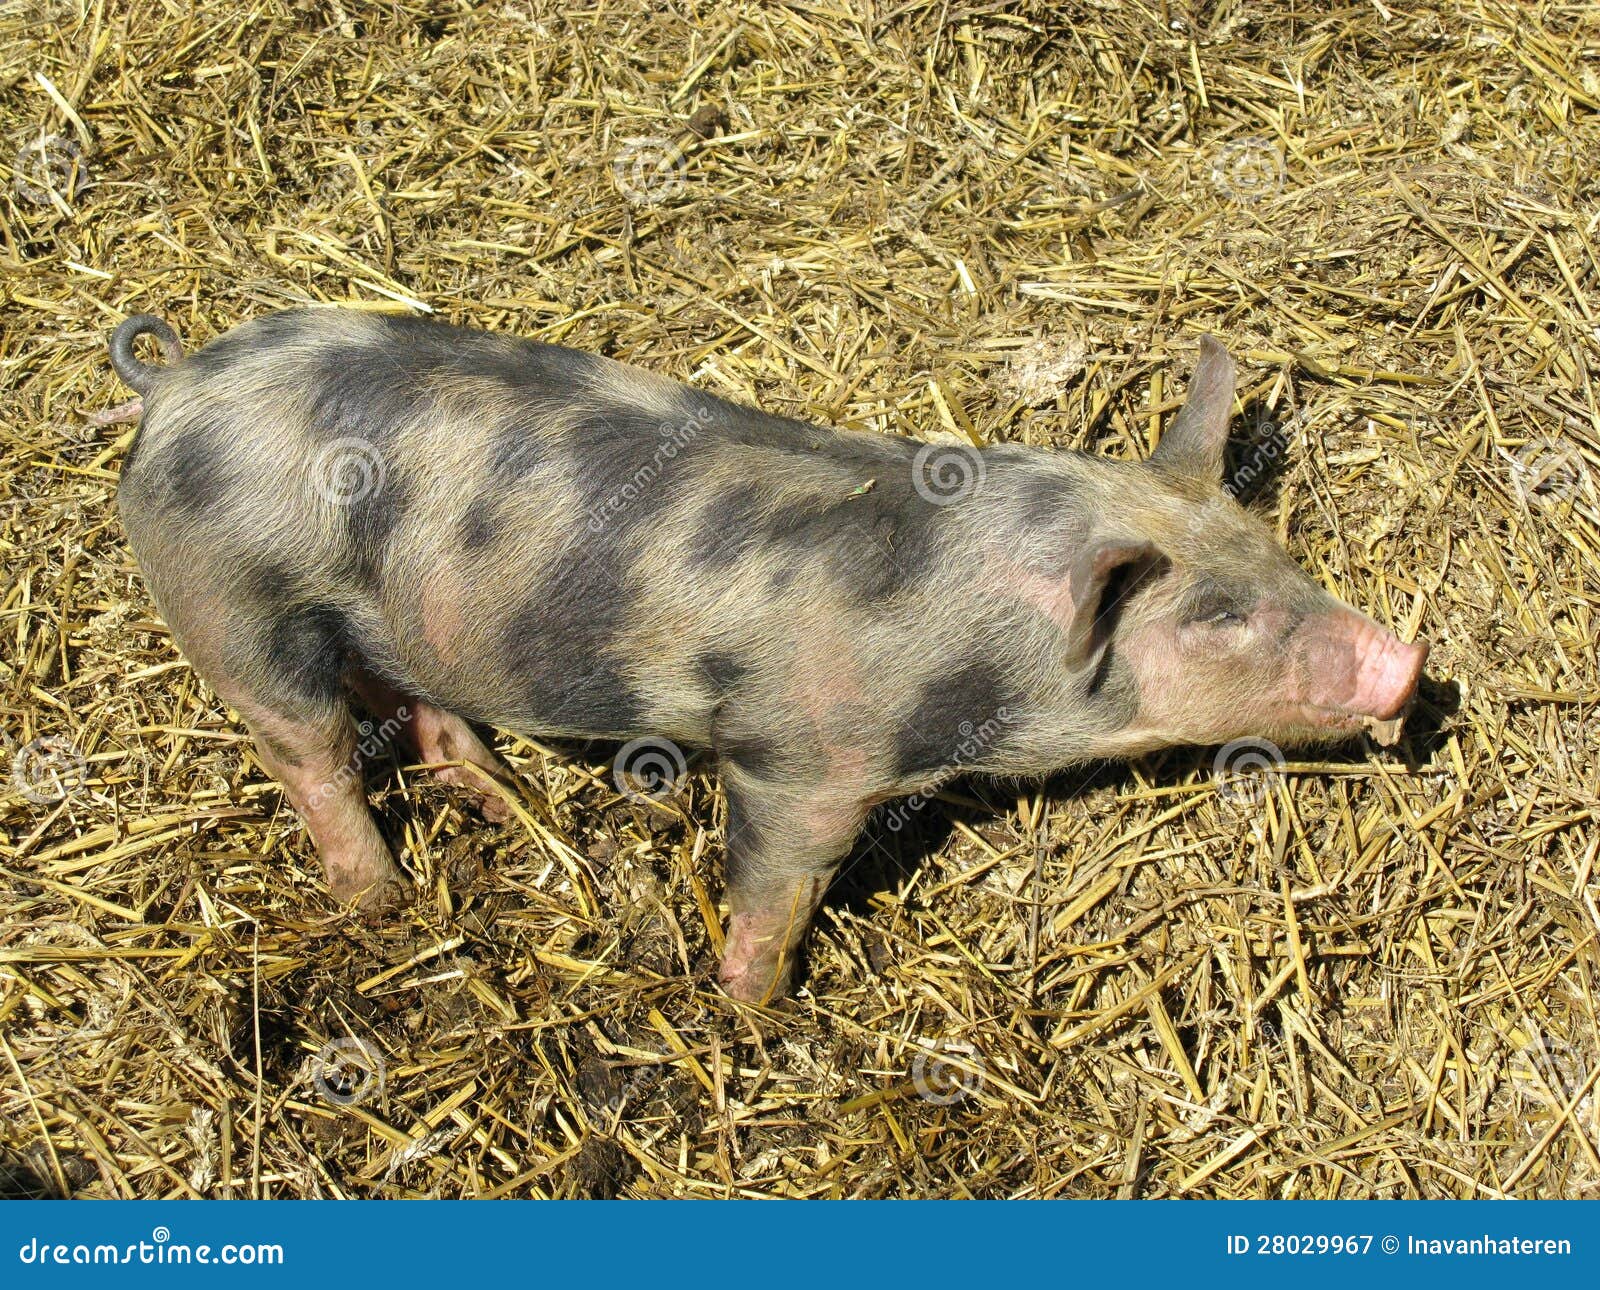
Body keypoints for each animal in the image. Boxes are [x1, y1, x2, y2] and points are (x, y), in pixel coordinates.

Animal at [109, 309, 1428, 1003]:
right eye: (1216, 614)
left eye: (1276, 557)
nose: (1408, 662)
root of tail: (172, 390)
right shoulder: (801, 759)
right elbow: (779, 882)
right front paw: (751, 1004)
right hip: (234, 603)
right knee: (310, 752)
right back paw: (380, 898)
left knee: (407, 701)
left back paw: (494, 792)